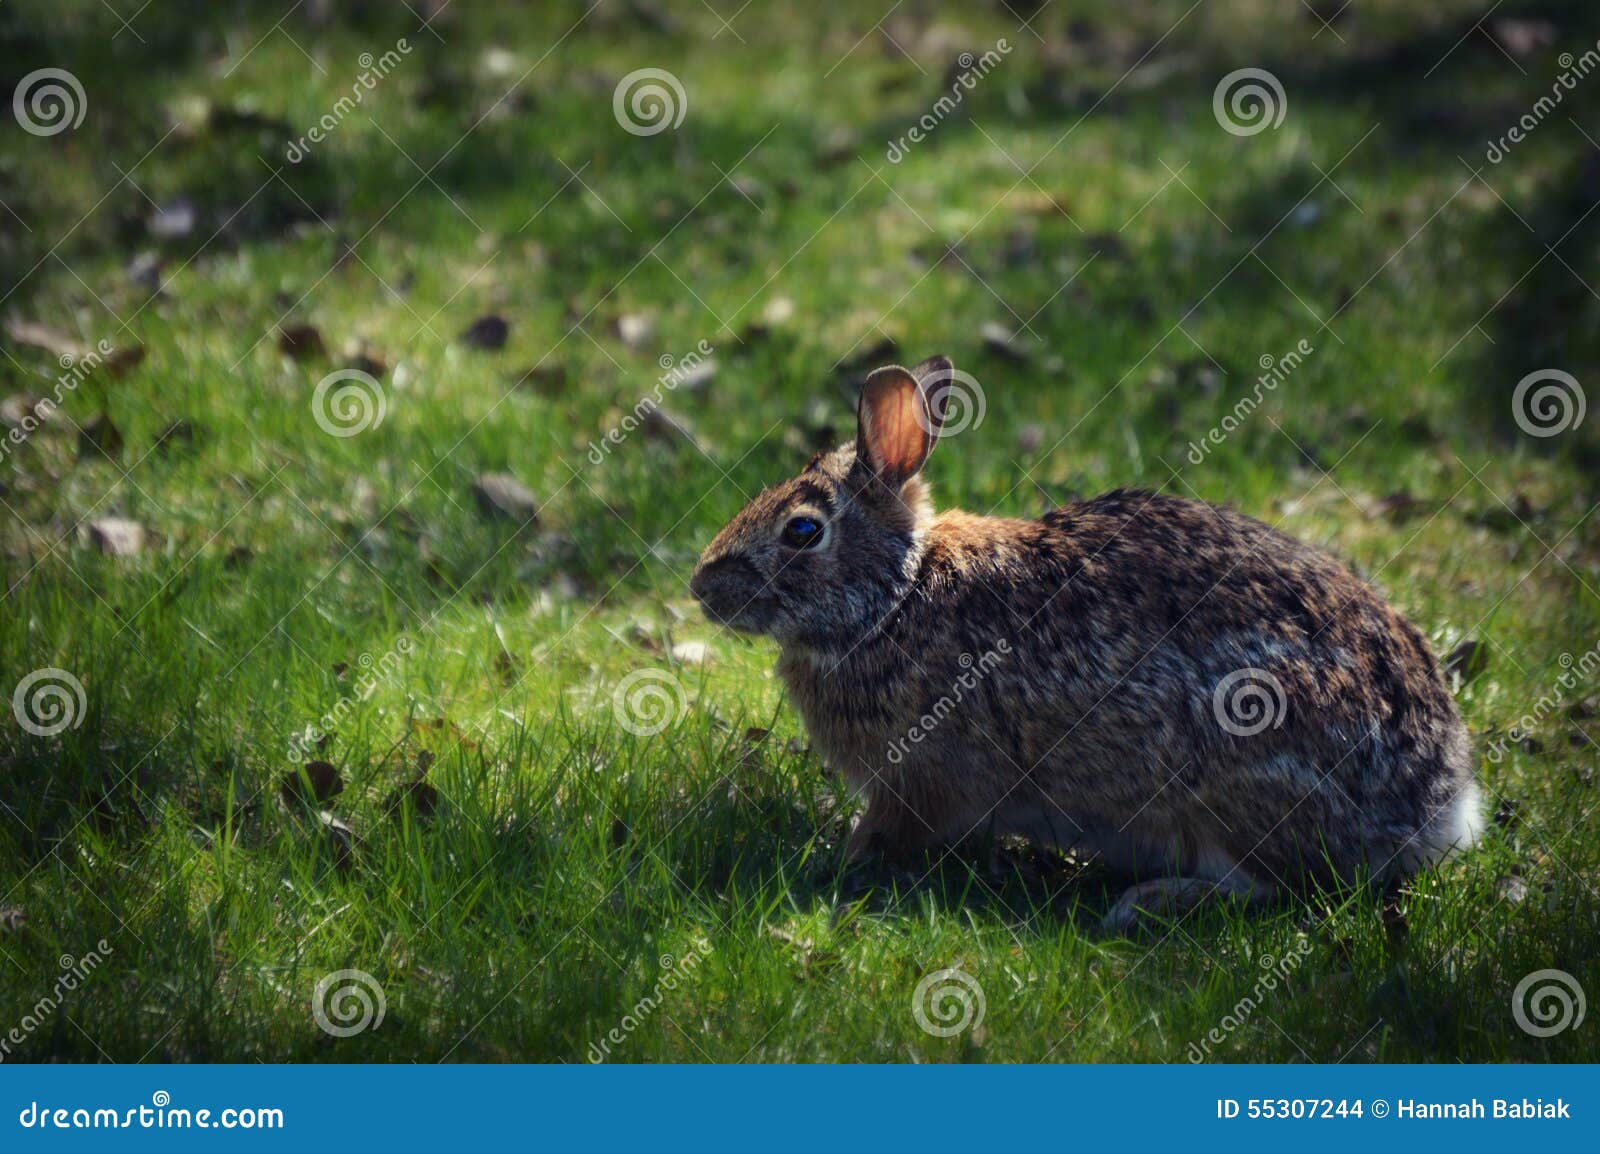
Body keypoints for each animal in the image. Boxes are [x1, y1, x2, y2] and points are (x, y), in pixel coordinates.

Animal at [689, 355, 1483, 930]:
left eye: (802, 531)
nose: (702, 585)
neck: (895, 599)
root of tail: (1437, 806)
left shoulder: (919, 779)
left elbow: (886, 830)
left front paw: (832, 860)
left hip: (1241, 768)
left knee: (1276, 886)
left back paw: (1149, 903)